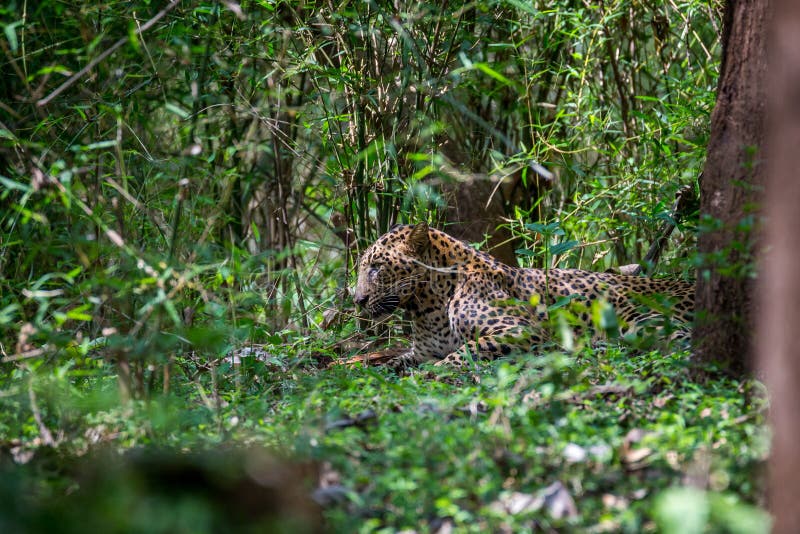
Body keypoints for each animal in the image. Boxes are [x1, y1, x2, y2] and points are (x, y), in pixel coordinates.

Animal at [353, 222, 694, 368]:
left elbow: (468, 349)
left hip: (641, 317)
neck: (426, 306)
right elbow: (395, 361)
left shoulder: (521, 331)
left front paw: (436, 371)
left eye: (376, 268)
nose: (357, 300)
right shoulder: (421, 351)